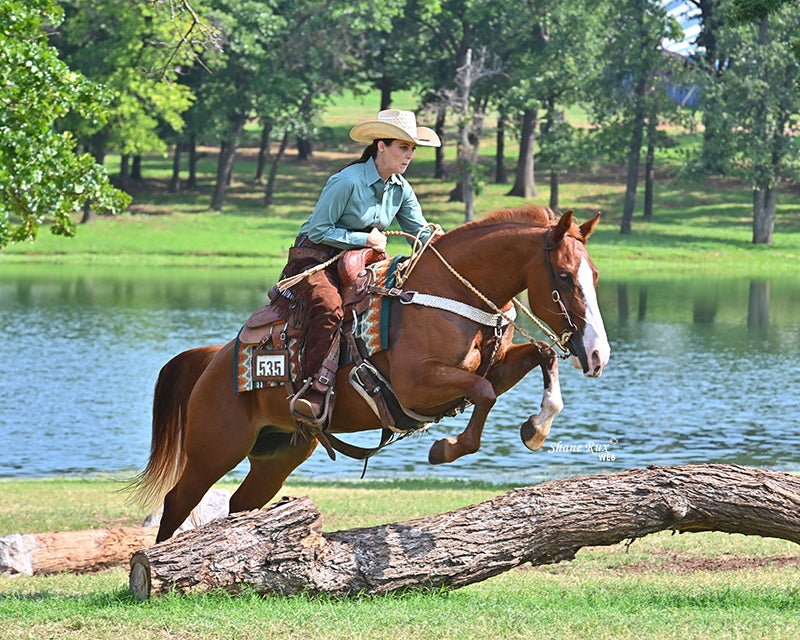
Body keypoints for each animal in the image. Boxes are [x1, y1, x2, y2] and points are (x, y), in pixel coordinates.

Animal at [131, 205, 610, 542]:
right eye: (564, 276)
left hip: (278, 453)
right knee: (177, 501)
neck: (449, 294)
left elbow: (541, 357)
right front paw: (446, 448)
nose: (597, 354)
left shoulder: (496, 368)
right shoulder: (417, 387)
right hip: (214, 450)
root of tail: (214, 359)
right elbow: (482, 393)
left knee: (241, 503)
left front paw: (536, 427)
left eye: (595, 275)